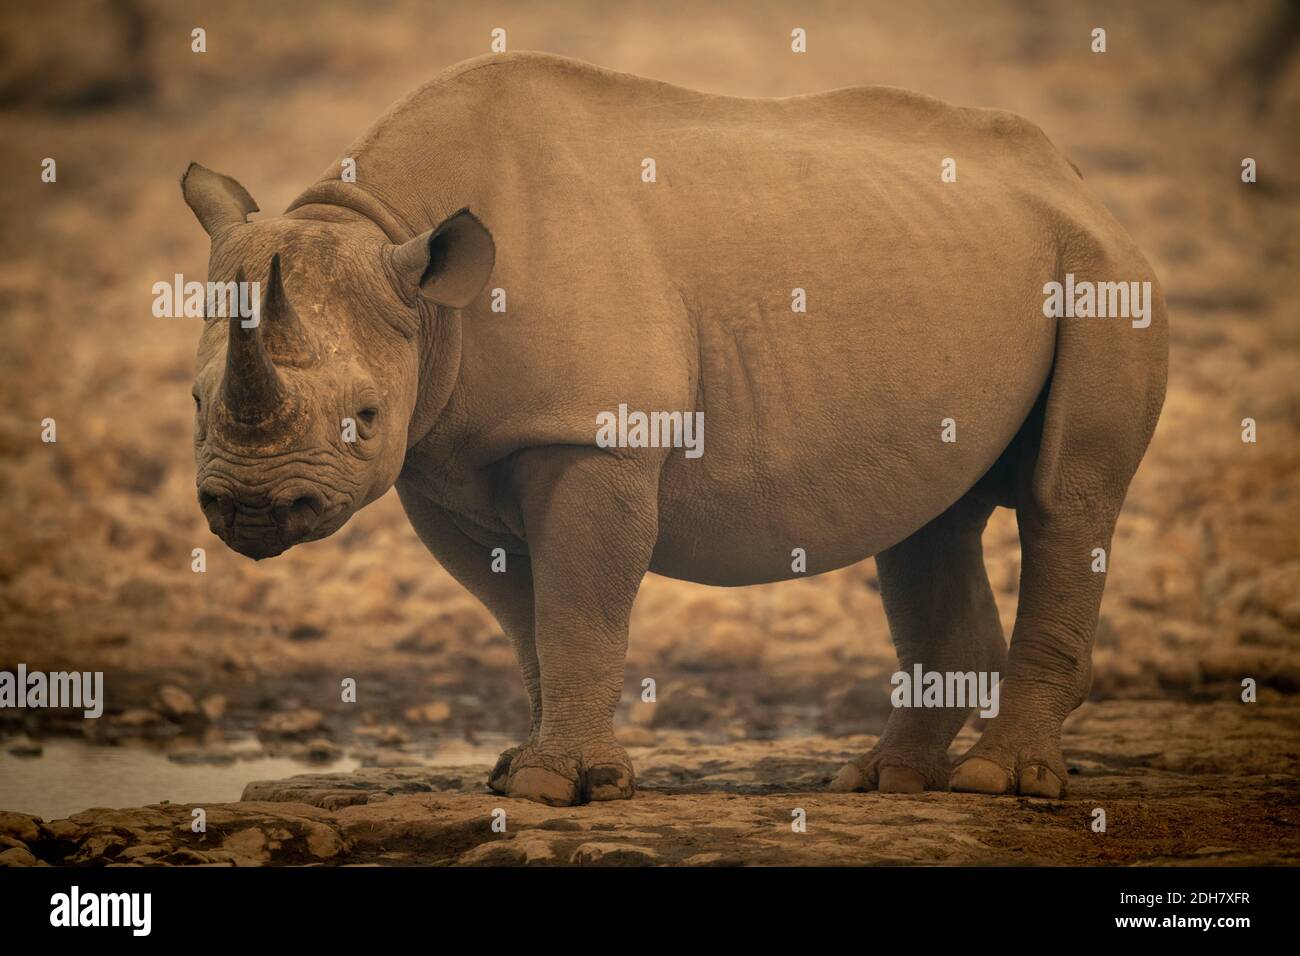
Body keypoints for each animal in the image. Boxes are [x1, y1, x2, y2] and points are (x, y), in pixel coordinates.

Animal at [183, 52, 1167, 806]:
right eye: (194, 403)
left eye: (365, 416)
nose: (253, 509)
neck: (406, 252)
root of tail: (1076, 180)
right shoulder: (443, 466)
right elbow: (523, 619)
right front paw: (518, 771)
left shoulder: (591, 436)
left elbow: (577, 608)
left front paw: (556, 789)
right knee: (931, 519)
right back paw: (883, 783)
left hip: (1101, 272)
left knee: (1066, 499)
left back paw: (999, 783)